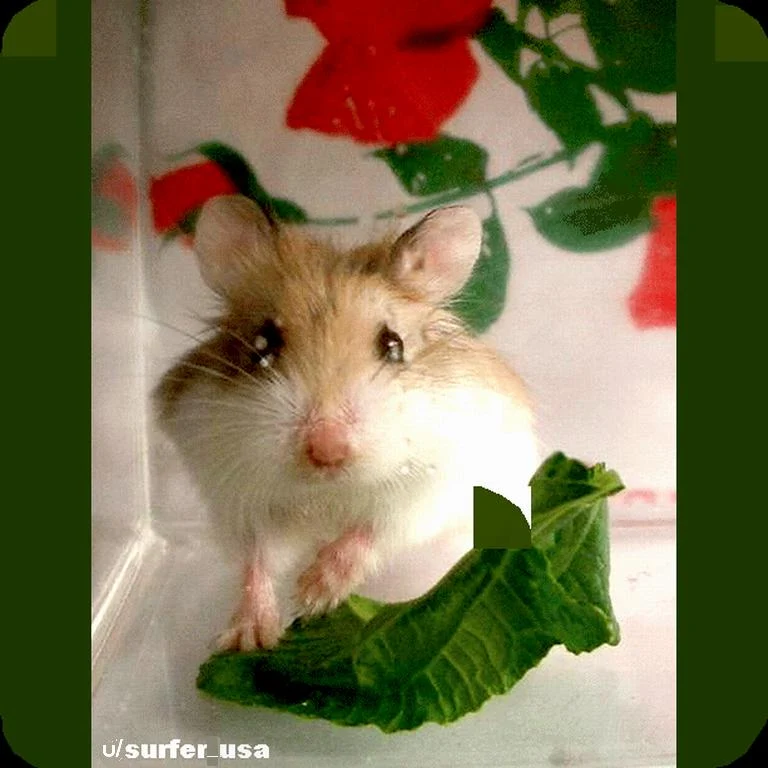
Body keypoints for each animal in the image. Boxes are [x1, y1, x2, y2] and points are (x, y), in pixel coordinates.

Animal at [155, 194, 538, 651]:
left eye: (393, 345)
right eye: (263, 345)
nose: (326, 450)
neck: (328, 492)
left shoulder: (427, 492)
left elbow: (369, 532)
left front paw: (312, 593)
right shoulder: (243, 501)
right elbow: (258, 559)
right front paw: (249, 638)